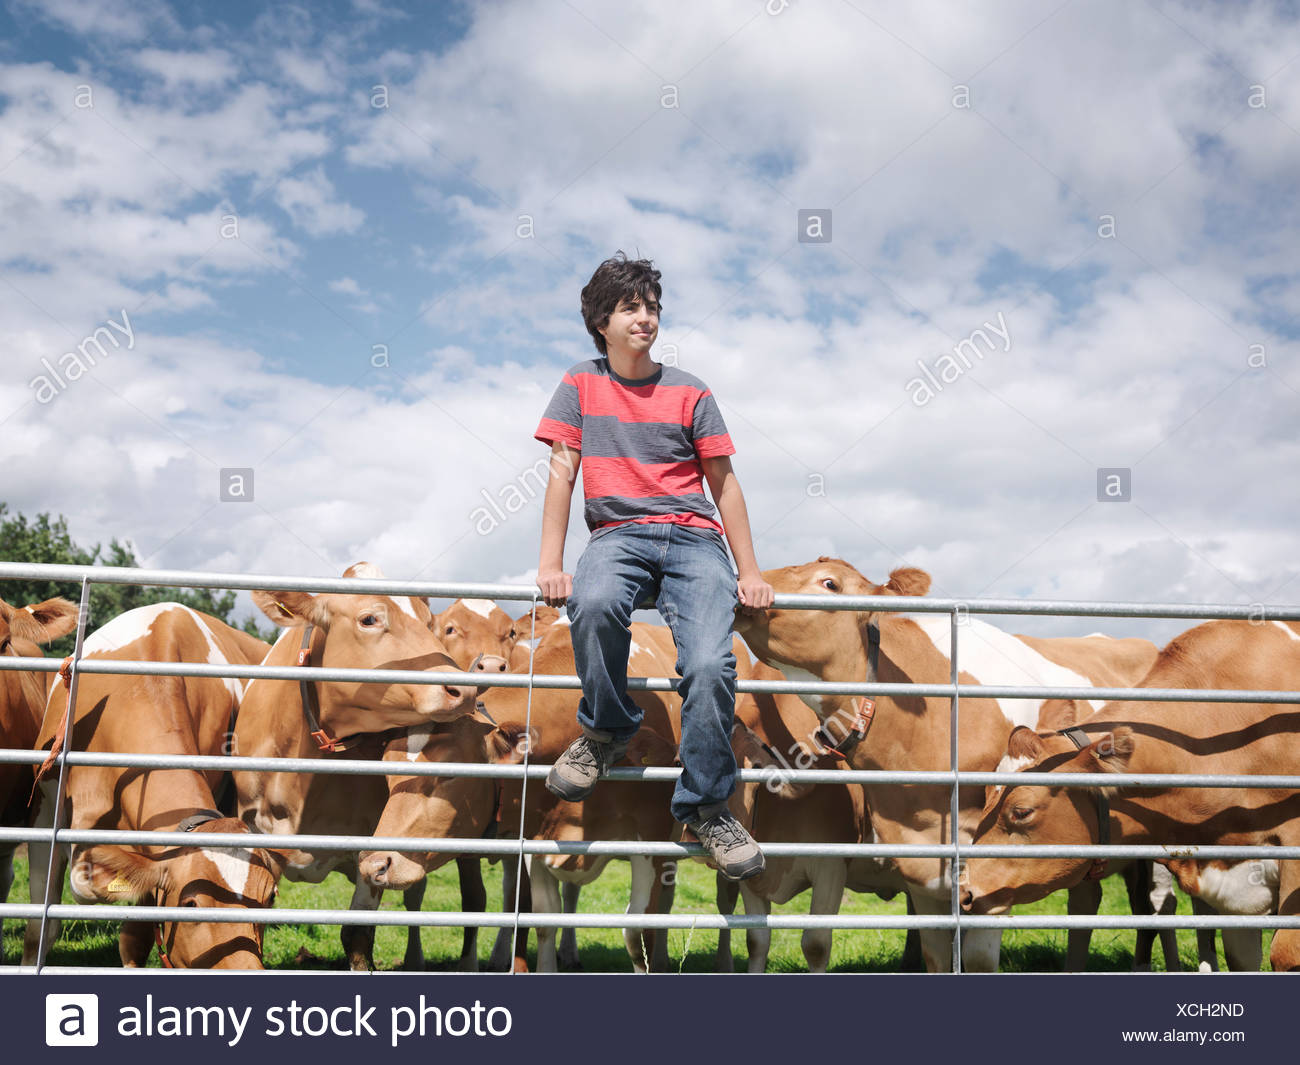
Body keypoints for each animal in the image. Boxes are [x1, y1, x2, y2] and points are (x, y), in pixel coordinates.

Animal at [733, 557, 1161, 972]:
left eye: (829, 583)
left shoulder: (997, 869)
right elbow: (936, 956)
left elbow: (977, 960)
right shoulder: (922, 866)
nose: (739, 584)